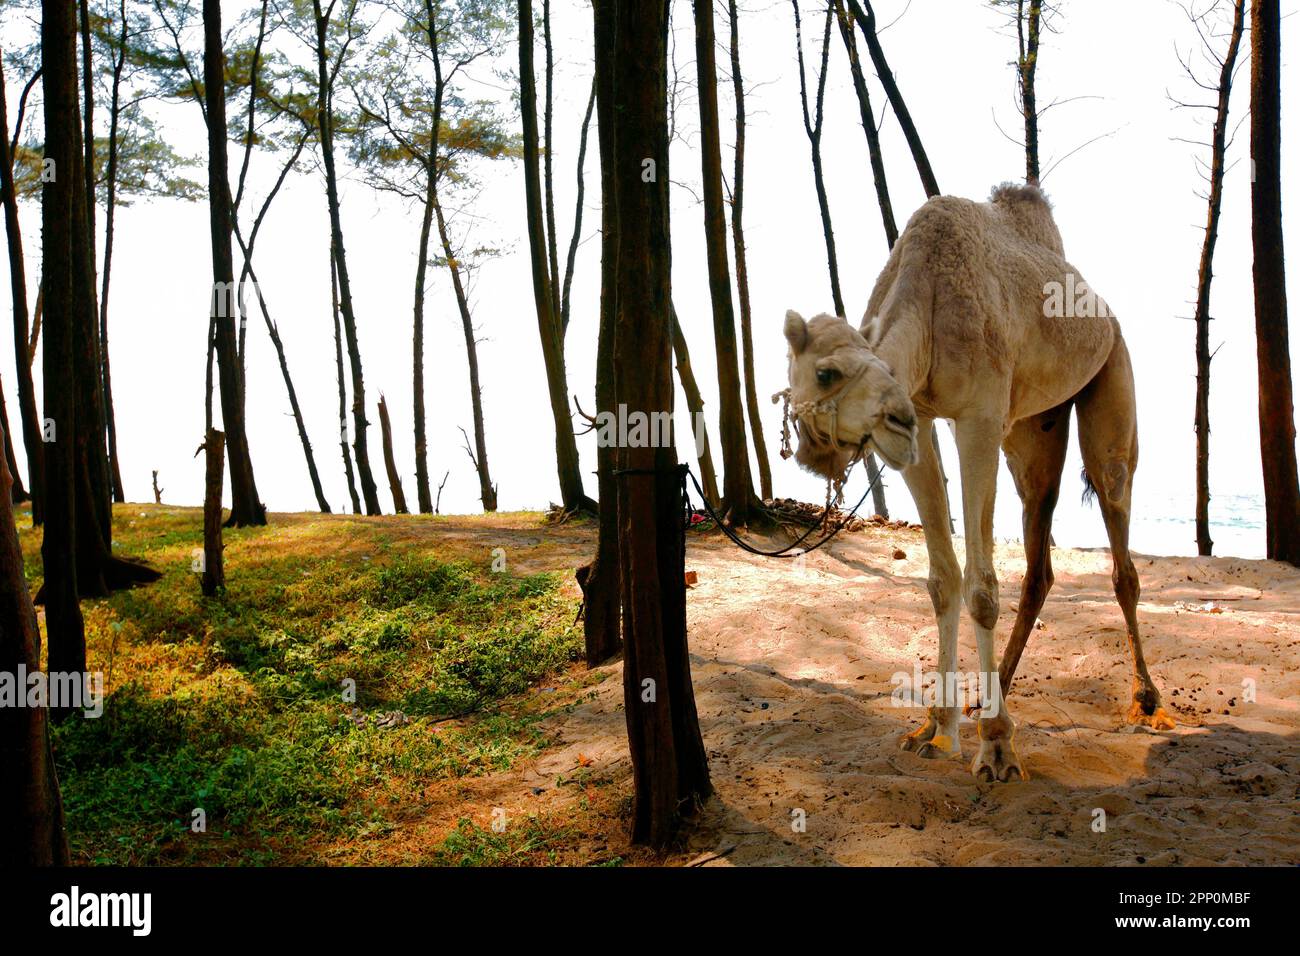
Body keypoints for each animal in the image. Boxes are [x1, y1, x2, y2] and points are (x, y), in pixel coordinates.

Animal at [782, 183, 1174, 783]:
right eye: (821, 372)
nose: (893, 418)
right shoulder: (924, 423)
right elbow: (944, 581)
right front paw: (935, 729)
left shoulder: (980, 416)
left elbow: (982, 589)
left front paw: (996, 749)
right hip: (1033, 433)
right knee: (1039, 552)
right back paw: (994, 693)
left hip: (1112, 376)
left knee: (1120, 541)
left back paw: (1146, 701)